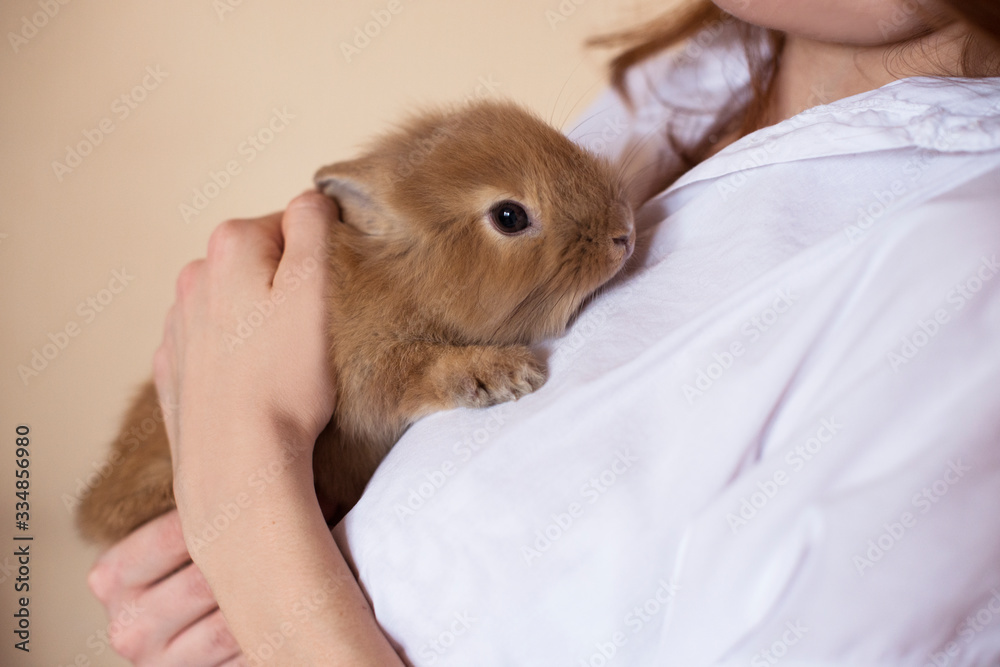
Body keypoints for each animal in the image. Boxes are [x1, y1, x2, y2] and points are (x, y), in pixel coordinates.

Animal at [76, 99, 635, 545]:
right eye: (509, 217)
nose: (624, 234)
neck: (403, 276)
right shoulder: (370, 371)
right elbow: (421, 370)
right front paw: (507, 375)